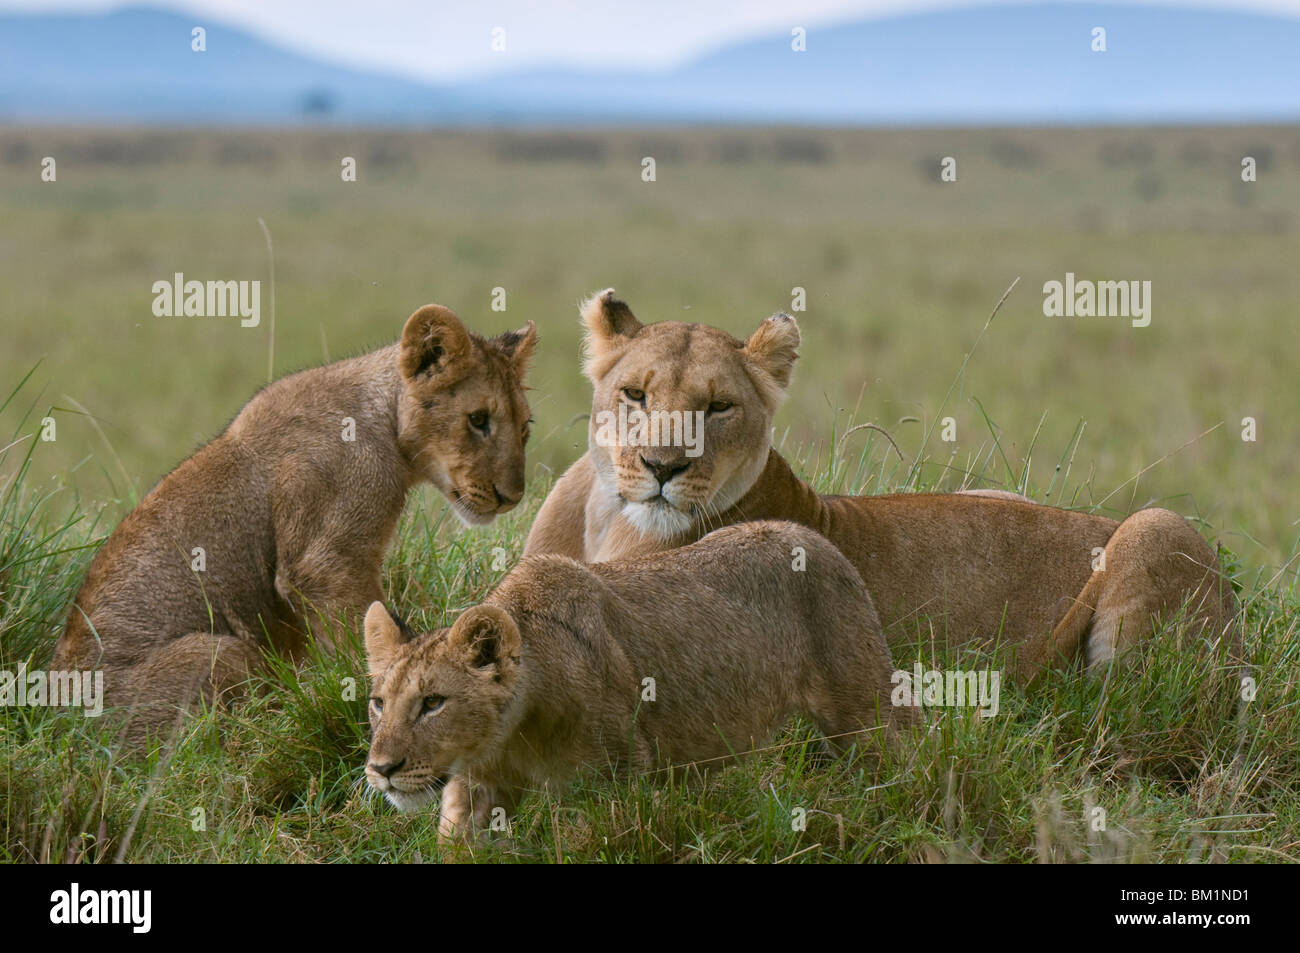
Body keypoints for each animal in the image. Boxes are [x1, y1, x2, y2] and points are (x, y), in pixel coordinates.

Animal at [52, 303, 536, 748]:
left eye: (525, 428)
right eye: (478, 419)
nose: (512, 496)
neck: (387, 424)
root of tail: (61, 724)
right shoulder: (325, 564)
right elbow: (360, 639)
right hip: (219, 651)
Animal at [363, 520, 915, 840]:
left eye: (433, 703)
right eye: (378, 704)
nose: (381, 769)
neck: (515, 732)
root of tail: (813, 536)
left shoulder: (619, 782)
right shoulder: (476, 792)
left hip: (865, 717)